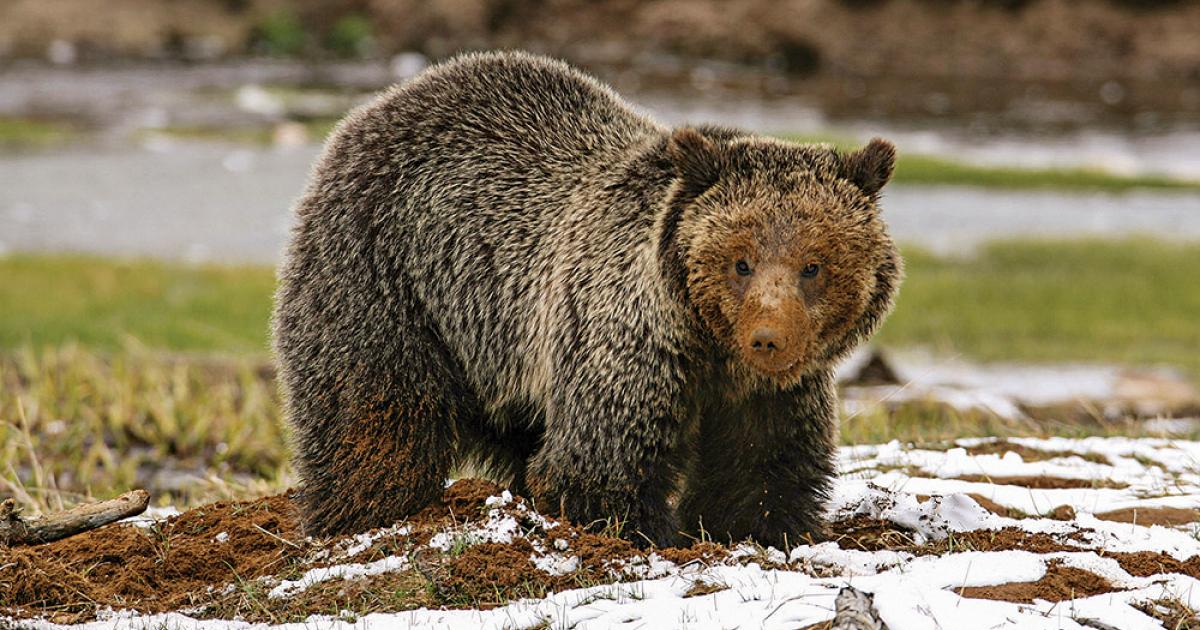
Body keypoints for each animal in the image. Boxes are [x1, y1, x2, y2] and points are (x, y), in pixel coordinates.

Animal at [272, 50, 902, 548]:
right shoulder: (625, 340)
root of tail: (378, 106)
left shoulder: (771, 394)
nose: (768, 338)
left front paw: (760, 528)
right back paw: (362, 515)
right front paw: (647, 532)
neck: (710, 348)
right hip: (386, 278)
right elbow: (600, 462)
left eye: (813, 265)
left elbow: (760, 469)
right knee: (373, 416)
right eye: (740, 261)